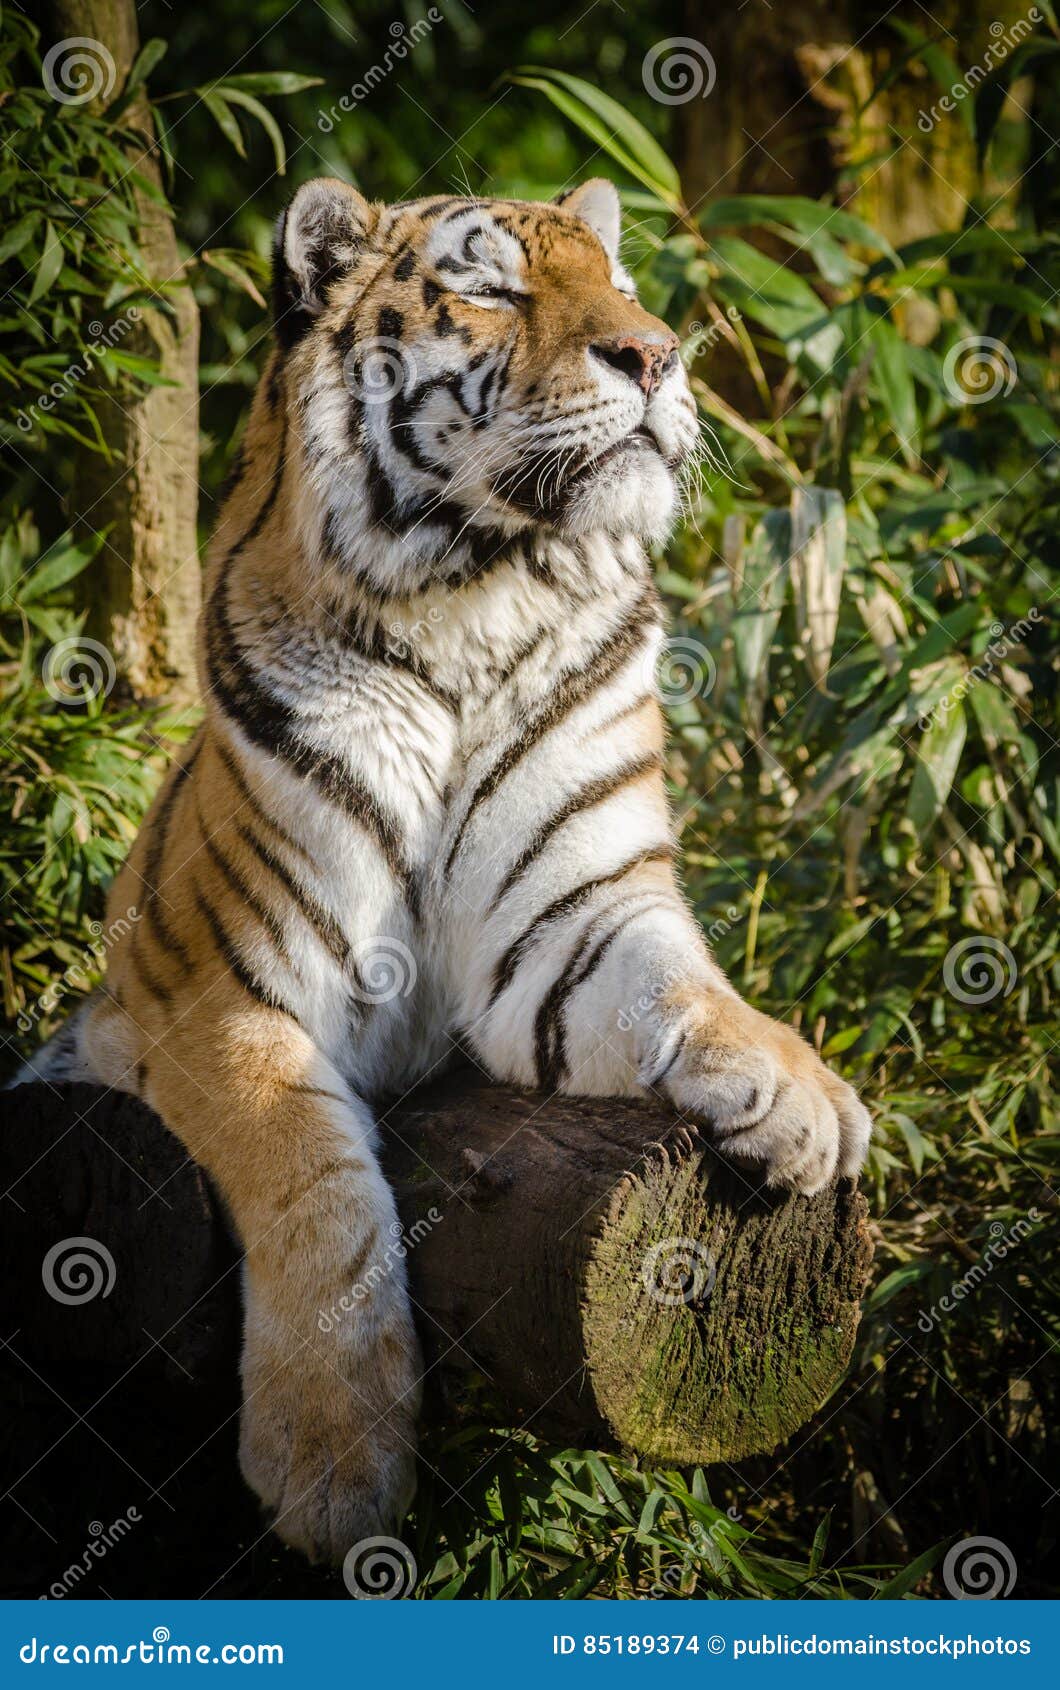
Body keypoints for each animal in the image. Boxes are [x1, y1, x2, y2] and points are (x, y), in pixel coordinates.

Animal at [16, 176, 871, 1566]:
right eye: (494, 288)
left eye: (620, 287)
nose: (655, 354)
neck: (476, 597)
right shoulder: (221, 993)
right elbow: (312, 1179)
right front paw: (330, 1465)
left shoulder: (573, 921)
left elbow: (681, 990)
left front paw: (804, 1099)